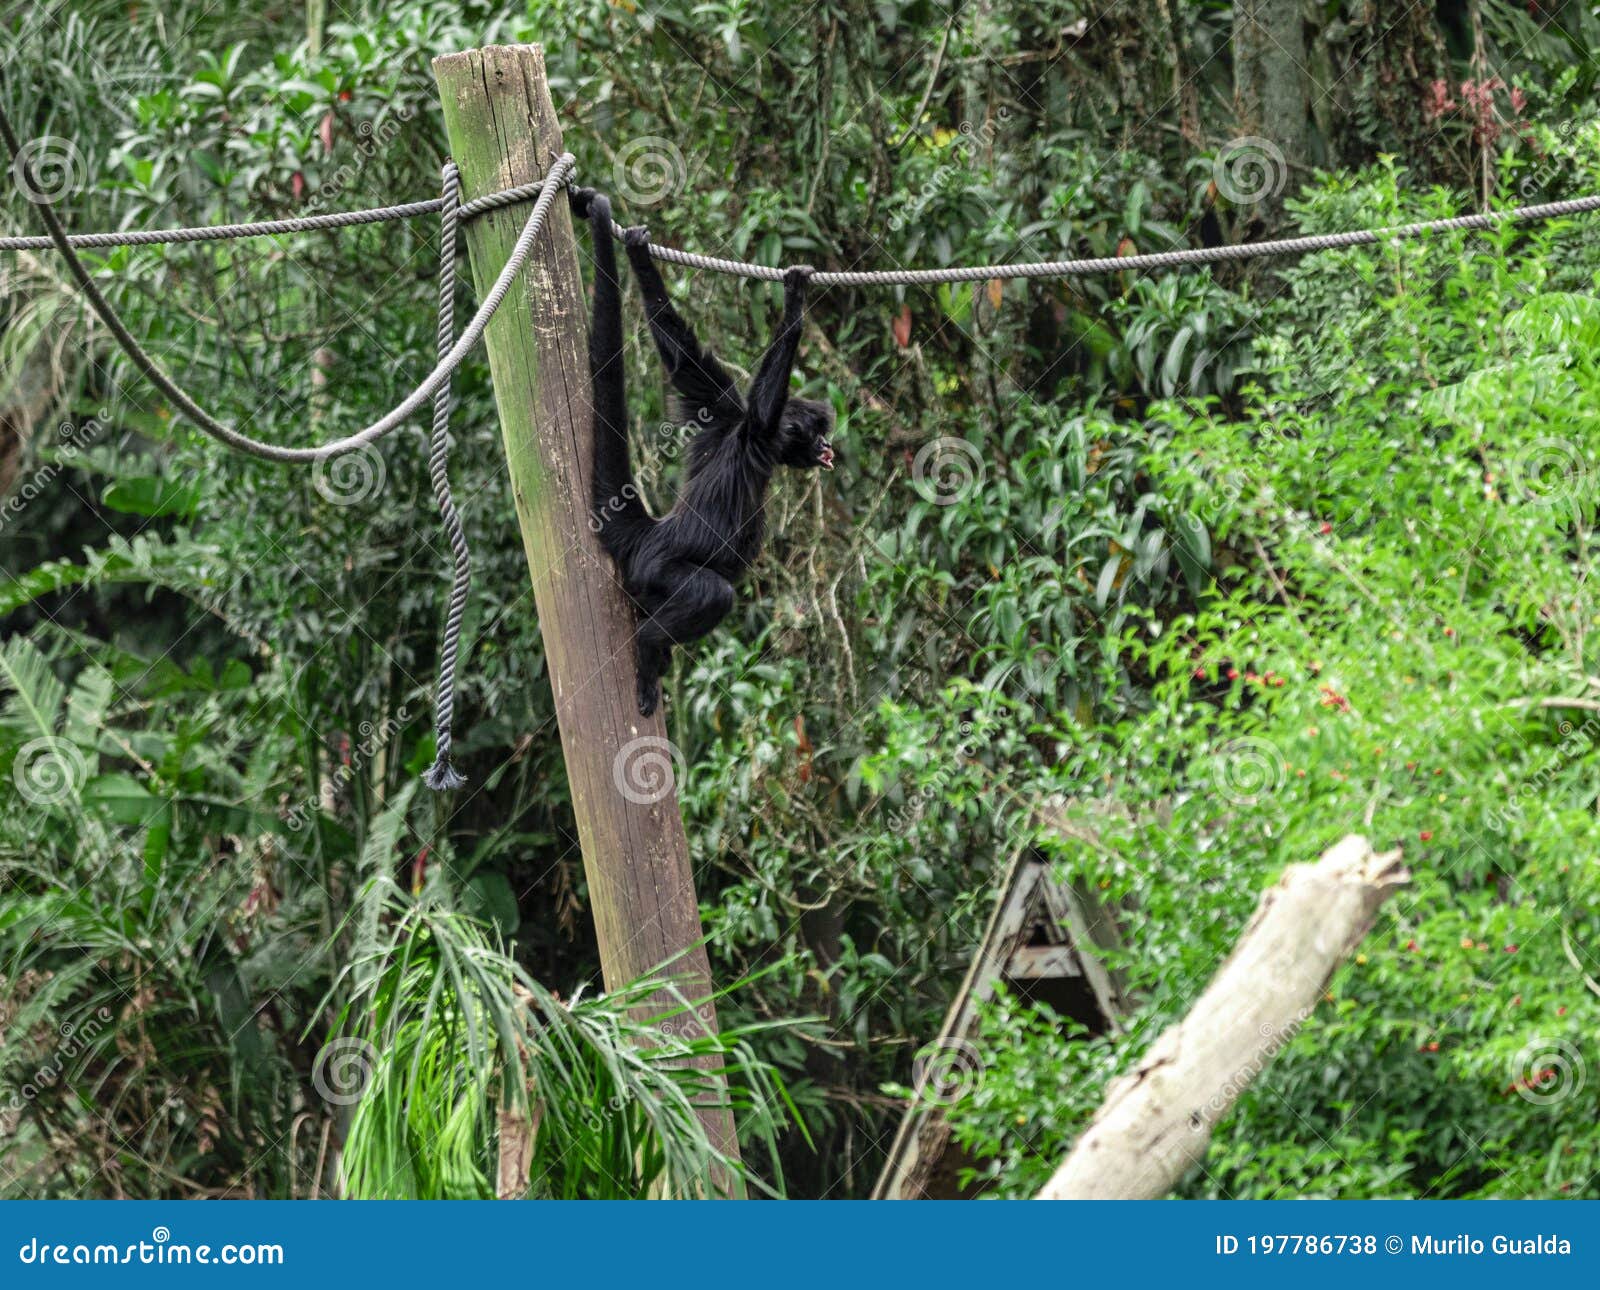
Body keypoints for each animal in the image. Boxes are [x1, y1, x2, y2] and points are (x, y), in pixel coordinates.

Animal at [570, 187, 836, 717]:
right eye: (816, 434)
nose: (827, 447)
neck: (754, 442)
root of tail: (651, 533)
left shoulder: (720, 408)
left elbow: (682, 357)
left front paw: (637, 251)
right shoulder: (755, 429)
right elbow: (765, 401)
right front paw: (794, 301)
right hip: (659, 573)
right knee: (714, 593)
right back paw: (651, 647)